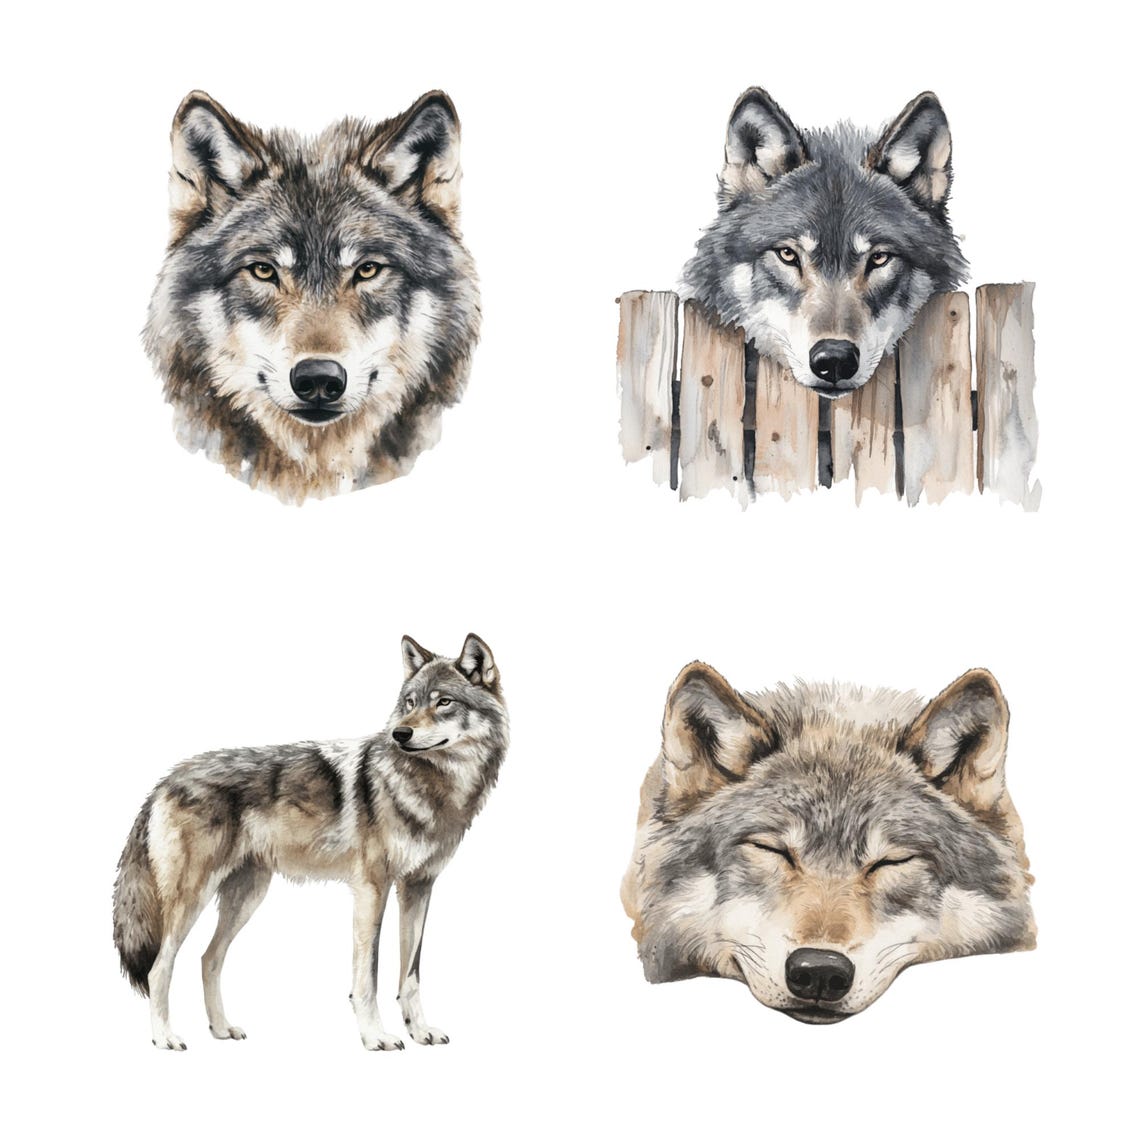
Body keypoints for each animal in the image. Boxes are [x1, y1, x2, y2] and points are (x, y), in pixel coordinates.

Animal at [113, 634, 506, 1050]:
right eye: (411, 703)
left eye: (443, 702)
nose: (400, 734)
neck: (431, 786)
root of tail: (165, 781)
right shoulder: (372, 889)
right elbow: (368, 975)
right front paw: (375, 1036)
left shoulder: (419, 886)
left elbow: (410, 975)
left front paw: (419, 1031)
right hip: (193, 898)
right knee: (159, 967)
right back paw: (165, 1037)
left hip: (246, 897)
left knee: (208, 959)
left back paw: (221, 1029)